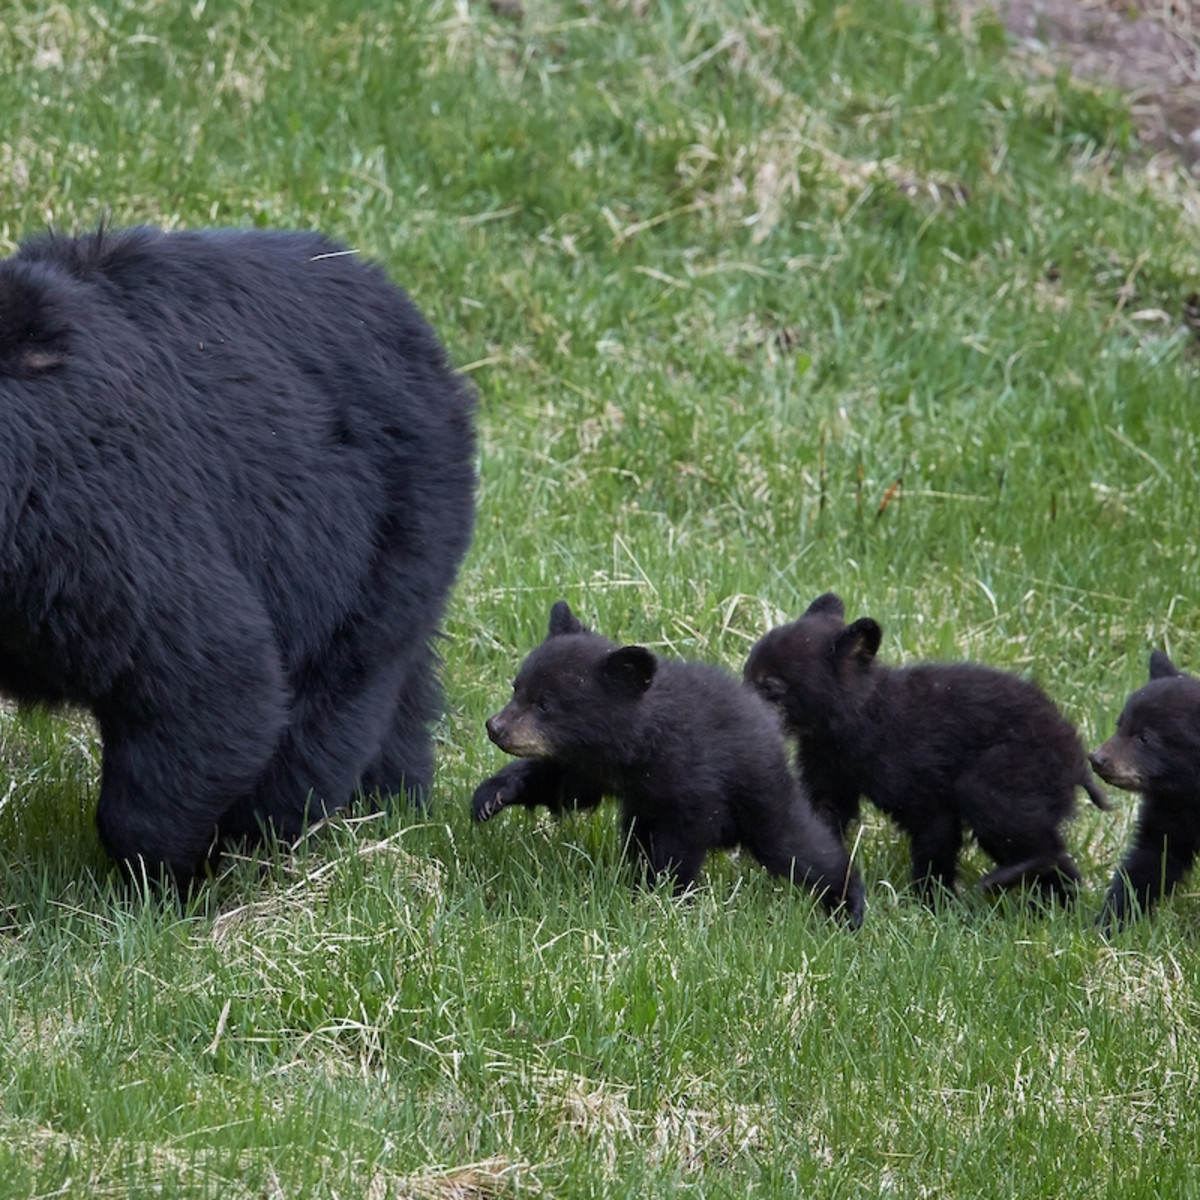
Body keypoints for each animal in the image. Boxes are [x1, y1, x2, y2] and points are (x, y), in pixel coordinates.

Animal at [0, 224, 476, 886]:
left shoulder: (82, 515)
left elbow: (213, 673)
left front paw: (164, 877)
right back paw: (393, 805)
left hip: (383, 532)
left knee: (329, 700)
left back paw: (277, 839)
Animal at [471, 600, 865, 925]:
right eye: (516, 688)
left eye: (545, 703)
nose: (494, 727)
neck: (638, 746)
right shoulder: (594, 766)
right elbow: (563, 787)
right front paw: (491, 795)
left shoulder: (692, 780)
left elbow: (683, 839)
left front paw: (661, 895)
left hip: (759, 791)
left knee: (796, 845)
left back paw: (848, 905)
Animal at [743, 592, 1109, 903]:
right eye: (747, 674)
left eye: (770, 686)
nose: (740, 710)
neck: (850, 725)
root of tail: (1077, 761)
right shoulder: (827, 760)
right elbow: (823, 812)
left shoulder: (914, 768)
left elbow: (934, 829)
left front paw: (931, 901)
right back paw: (1056, 901)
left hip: (1015, 767)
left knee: (1012, 818)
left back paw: (1005, 880)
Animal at [1089, 650, 1200, 929]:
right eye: (1120, 725)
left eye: (1145, 737)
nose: (1097, 759)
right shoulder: (1170, 810)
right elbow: (1150, 860)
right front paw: (1109, 922)